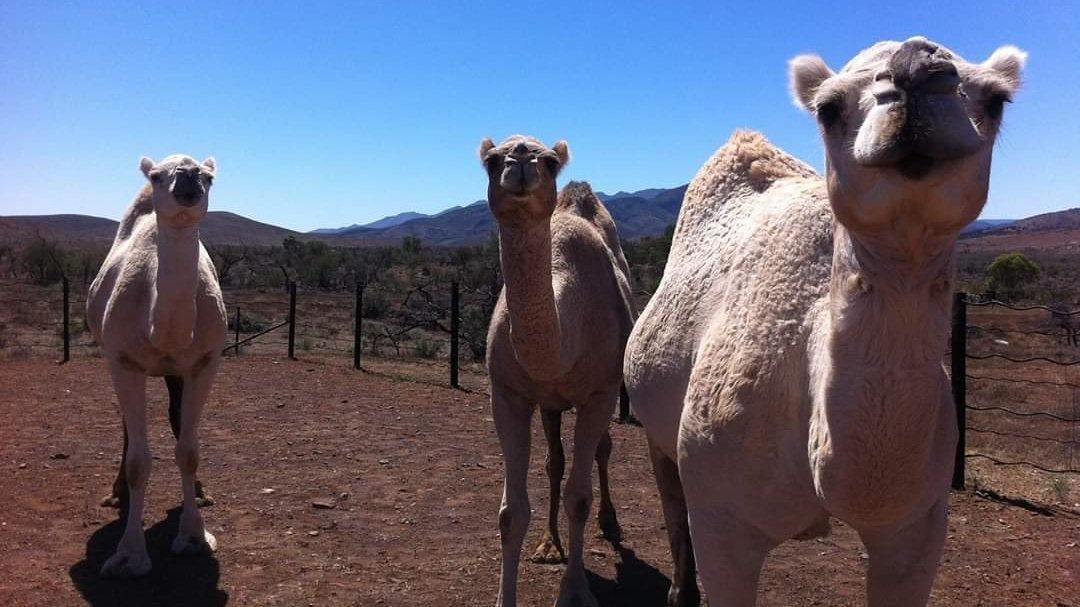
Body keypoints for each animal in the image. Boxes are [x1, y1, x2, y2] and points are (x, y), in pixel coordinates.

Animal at [87, 154, 227, 578]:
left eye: (209, 177)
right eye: (156, 176)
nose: (187, 179)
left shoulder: (203, 362)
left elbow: (189, 450)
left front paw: (195, 536)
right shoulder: (123, 361)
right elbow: (138, 461)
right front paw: (129, 555)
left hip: (174, 372)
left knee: (175, 418)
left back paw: (199, 491)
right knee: (126, 428)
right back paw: (117, 493)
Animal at [480, 135, 636, 607]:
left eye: (549, 161)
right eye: (491, 161)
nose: (520, 159)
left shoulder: (600, 393)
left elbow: (579, 498)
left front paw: (574, 591)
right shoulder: (507, 394)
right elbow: (511, 512)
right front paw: (505, 597)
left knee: (601, 452)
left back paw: (611, 522)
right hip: (550, 405)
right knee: (554, 462)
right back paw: (550, 545)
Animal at [624, 37, 1026, 606]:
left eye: (995, 100)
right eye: (829, 108)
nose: (915, 70)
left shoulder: (918, 526)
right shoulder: (723, 521)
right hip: (657, 431)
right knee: (670, 495)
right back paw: (680, 590)